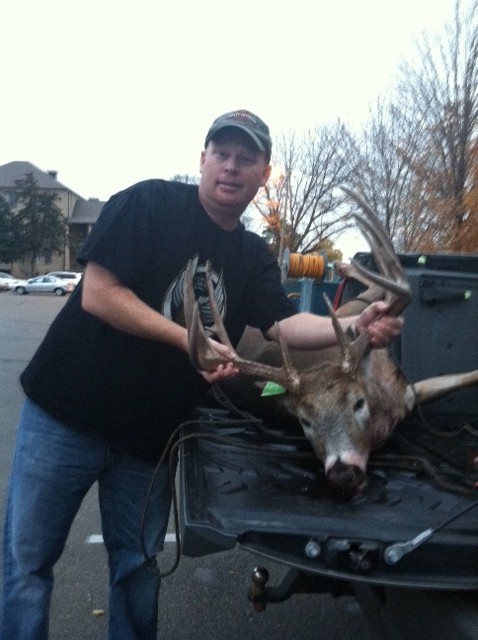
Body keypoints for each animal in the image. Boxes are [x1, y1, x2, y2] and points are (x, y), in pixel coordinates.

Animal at [183, 189, 478, 498]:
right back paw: (346, 265)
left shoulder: (409, 390)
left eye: (358, 403)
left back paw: (351, 265)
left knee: (380, 287)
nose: (342, 473)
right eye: (304, 421)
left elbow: (470, 375)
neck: (387, 405)